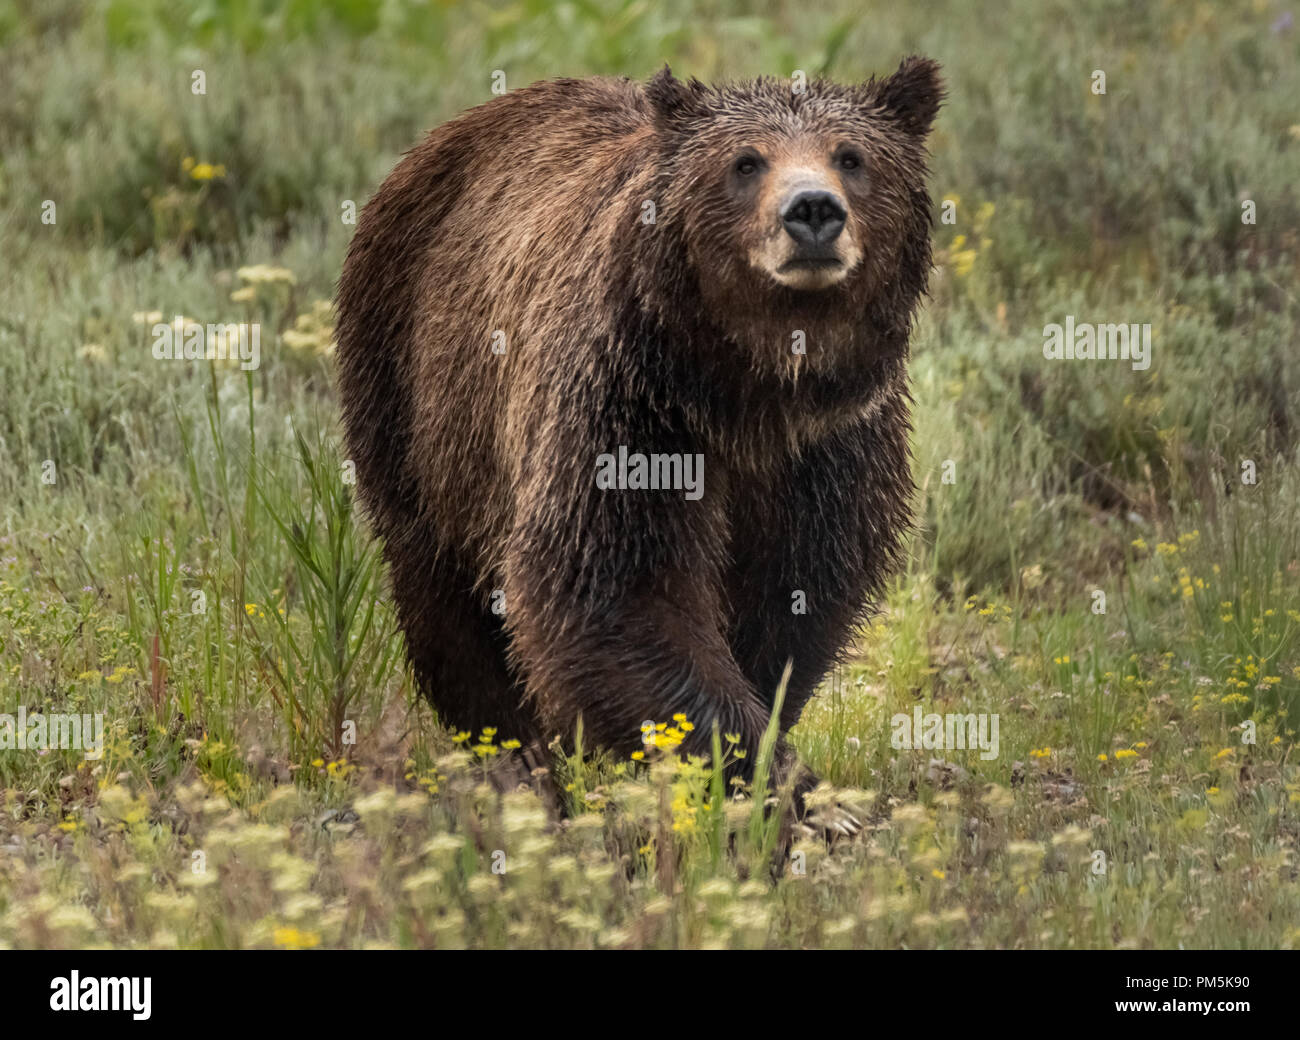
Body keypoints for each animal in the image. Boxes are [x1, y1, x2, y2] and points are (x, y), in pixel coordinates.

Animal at [335, 59, 942, 814]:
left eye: (851, 156)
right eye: (746, 161)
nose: (812, 211)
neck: (751, 388)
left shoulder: (831, 445)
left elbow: (796, 592)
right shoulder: (632, 405)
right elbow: (616, 587)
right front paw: (773, 783)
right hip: (416, 392)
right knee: (444, 594)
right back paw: (518, 765)